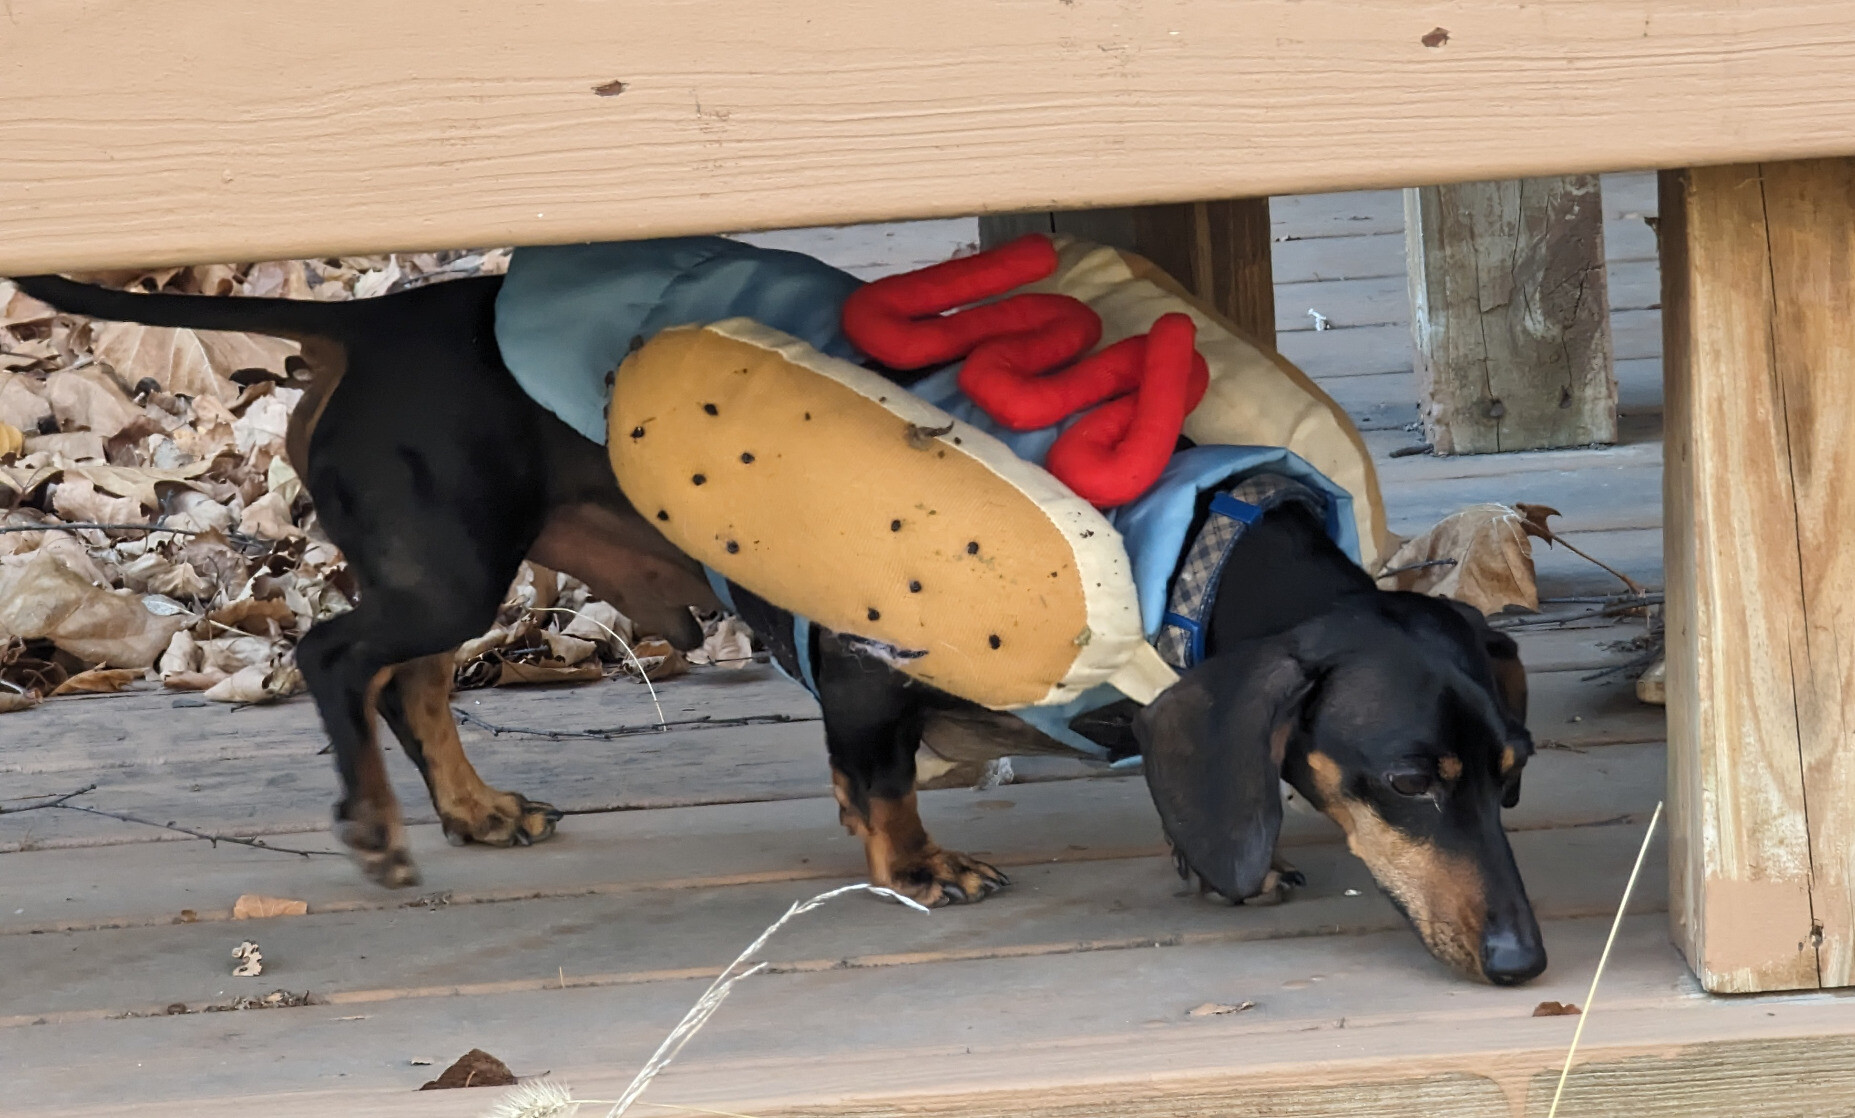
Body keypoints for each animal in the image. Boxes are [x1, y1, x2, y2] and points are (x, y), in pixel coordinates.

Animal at [14, 272, 1550, 986]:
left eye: (1510, 777)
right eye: (1407, 780)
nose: (1524, 962)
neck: (1202, 538)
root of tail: (376, 322)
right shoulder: (868, 659)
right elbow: (879, 779)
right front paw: (917, 866)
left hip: (461, 558)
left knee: (414, 683)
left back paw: (472, 807)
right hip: (446, 561)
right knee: (341, 658)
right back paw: (382, 828)